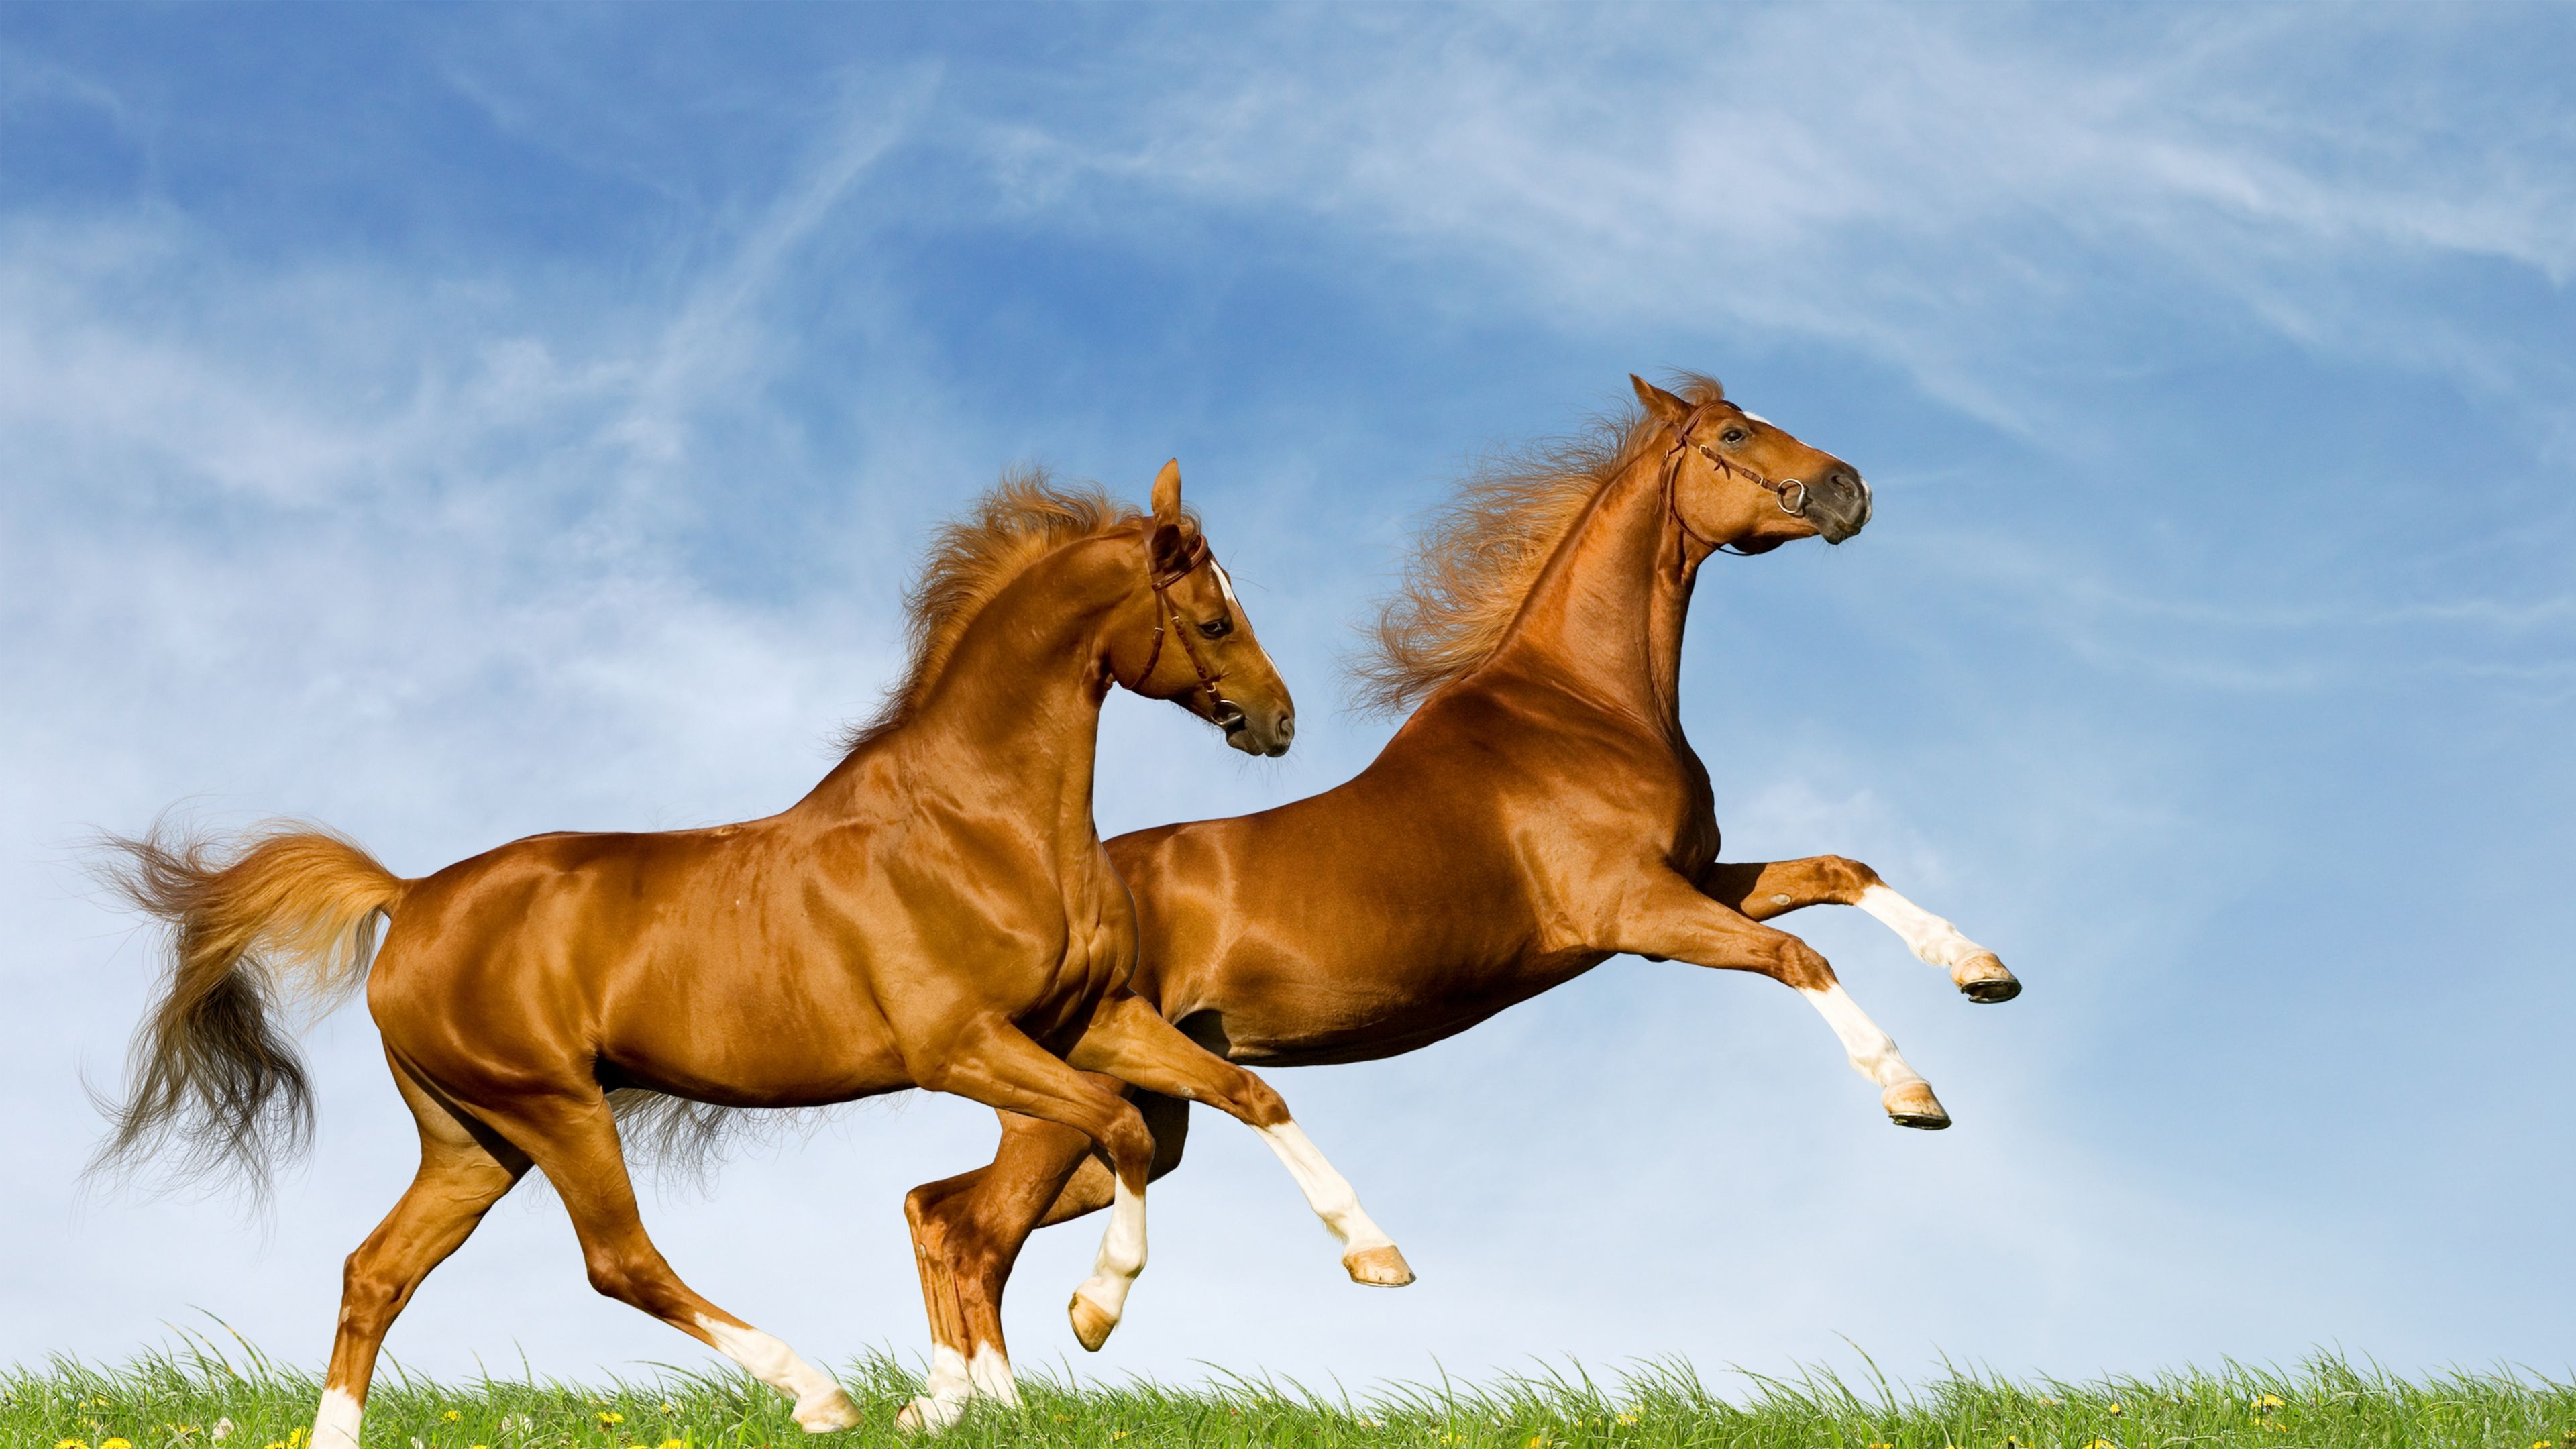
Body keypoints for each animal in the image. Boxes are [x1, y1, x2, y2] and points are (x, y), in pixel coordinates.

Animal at [90, 463, 1413, 1446]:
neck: (980, 824)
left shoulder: (1087, 1020)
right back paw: (818, 1393)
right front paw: (1092, 1315)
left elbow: (1242, 1091)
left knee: (376, 1271)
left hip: (473, 1138)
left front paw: (1377, 1258)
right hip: (555, 1108)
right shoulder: (962, 1047)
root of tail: (411, 900)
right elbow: (1121, 1127)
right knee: (617, 1261)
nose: (1279, 722)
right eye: (1212, 615)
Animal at [891, 374, 2022, 1409]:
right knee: (973, 1233)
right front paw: (1912, 1094)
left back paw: (944, 1401)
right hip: (1073, 1108)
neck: (1585, 708)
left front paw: (1981, 969)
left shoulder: (1699, 880)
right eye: (1736, 435)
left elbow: (1842, 873)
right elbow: (1801, 955)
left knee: (940, 1210)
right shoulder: (1643, 914)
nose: (1848, 489)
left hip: (1138, 1114)